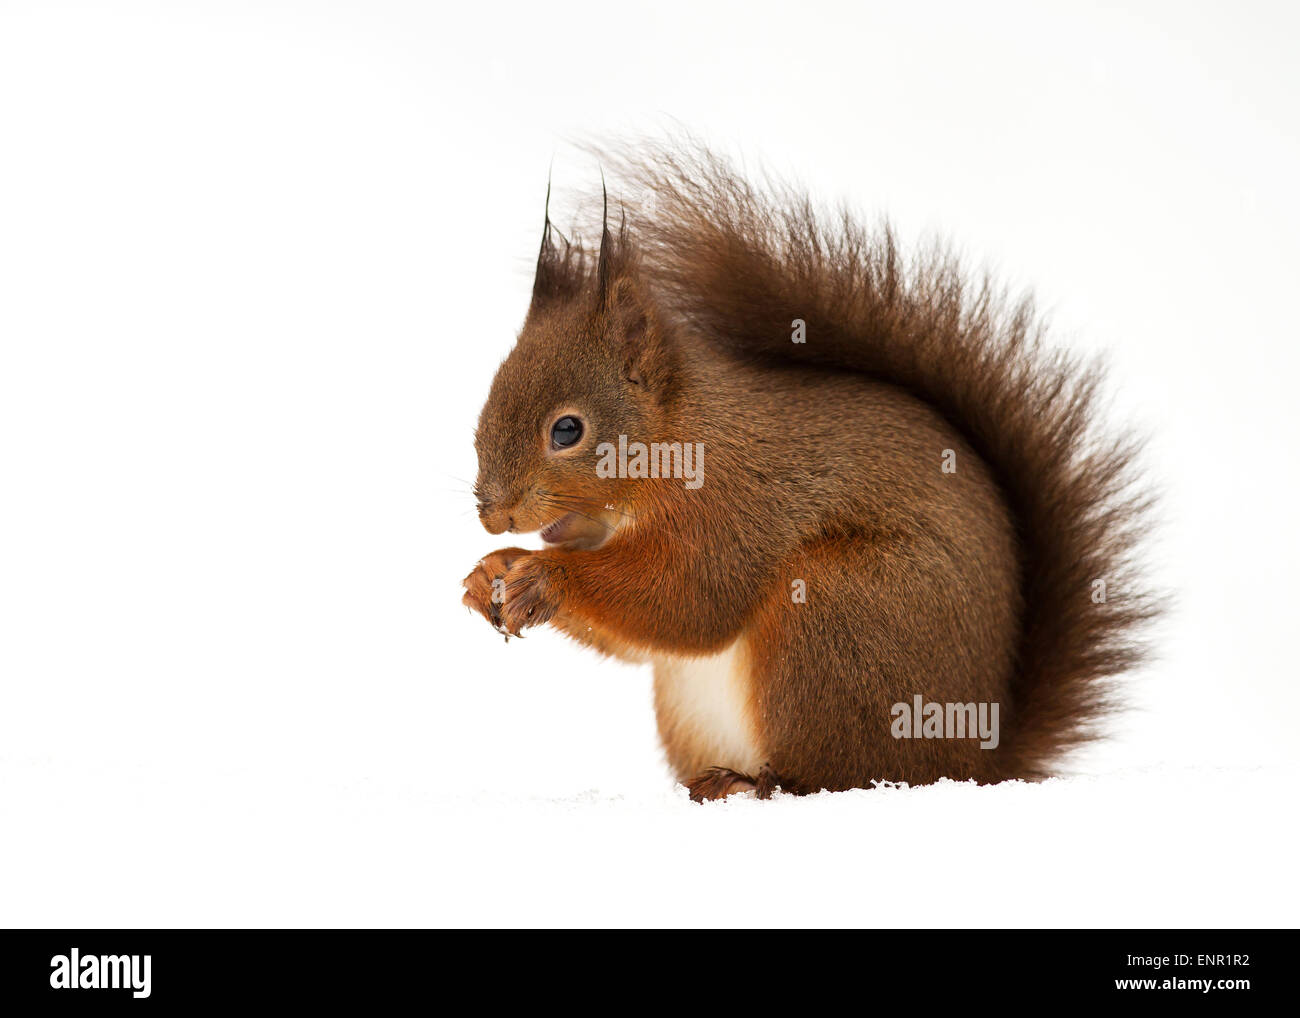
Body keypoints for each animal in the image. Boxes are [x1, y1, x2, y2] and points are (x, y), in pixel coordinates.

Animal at [462, 141, 1155, 801]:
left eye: (568, 430)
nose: (493, 516)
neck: (680, 438)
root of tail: (975, 763)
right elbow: (639, 641)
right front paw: (490, 573)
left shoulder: (733, 505)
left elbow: (687, 601)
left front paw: (542, 577)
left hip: (832, 614)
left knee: (840, 774)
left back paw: (760, 783)